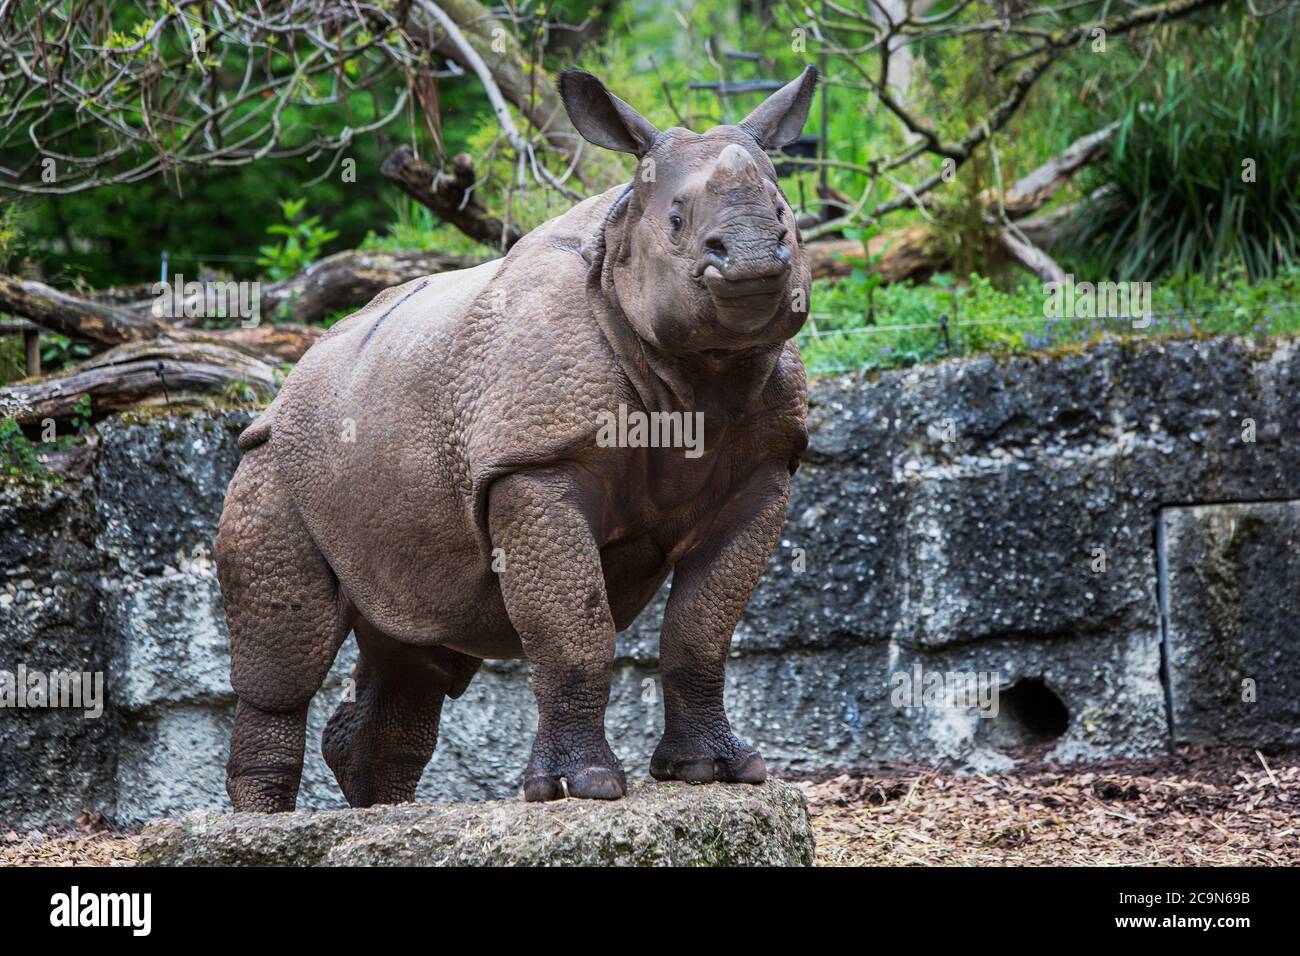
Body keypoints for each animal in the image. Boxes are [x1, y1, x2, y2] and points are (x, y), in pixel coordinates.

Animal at [215, 66, 817, 809]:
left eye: (787, 215)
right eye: (675, 222)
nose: (755, 256)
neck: (700, 369)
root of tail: (290, 376)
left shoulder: (766, 469)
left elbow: (701, 631)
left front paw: (719, 772)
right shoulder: (535, 463)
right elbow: (574, 627)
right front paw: (581, 788)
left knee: (418, 639)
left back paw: (380, 808)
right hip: (273, 457)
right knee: (287, 657)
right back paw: (265, 822)